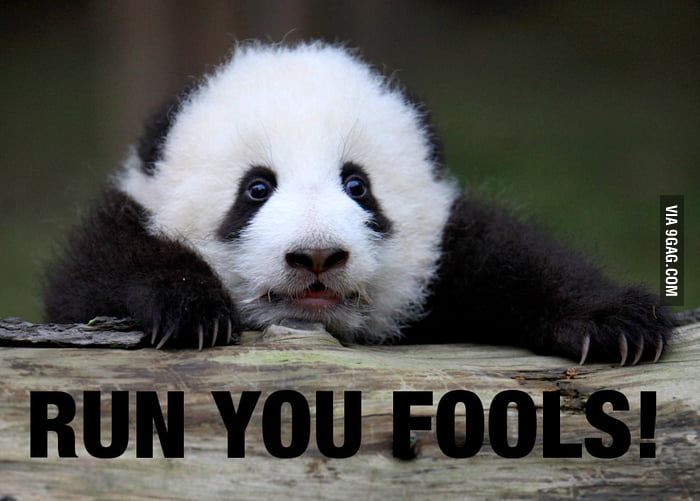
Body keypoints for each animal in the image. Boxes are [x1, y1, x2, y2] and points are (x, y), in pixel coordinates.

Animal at [43, 40, 675, 364]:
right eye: (256, 189)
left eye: (357, 185)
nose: (317, 256)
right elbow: (96, 273)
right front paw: (188, 307)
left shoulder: (448, 245)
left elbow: (515, 257)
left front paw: (615, 324)